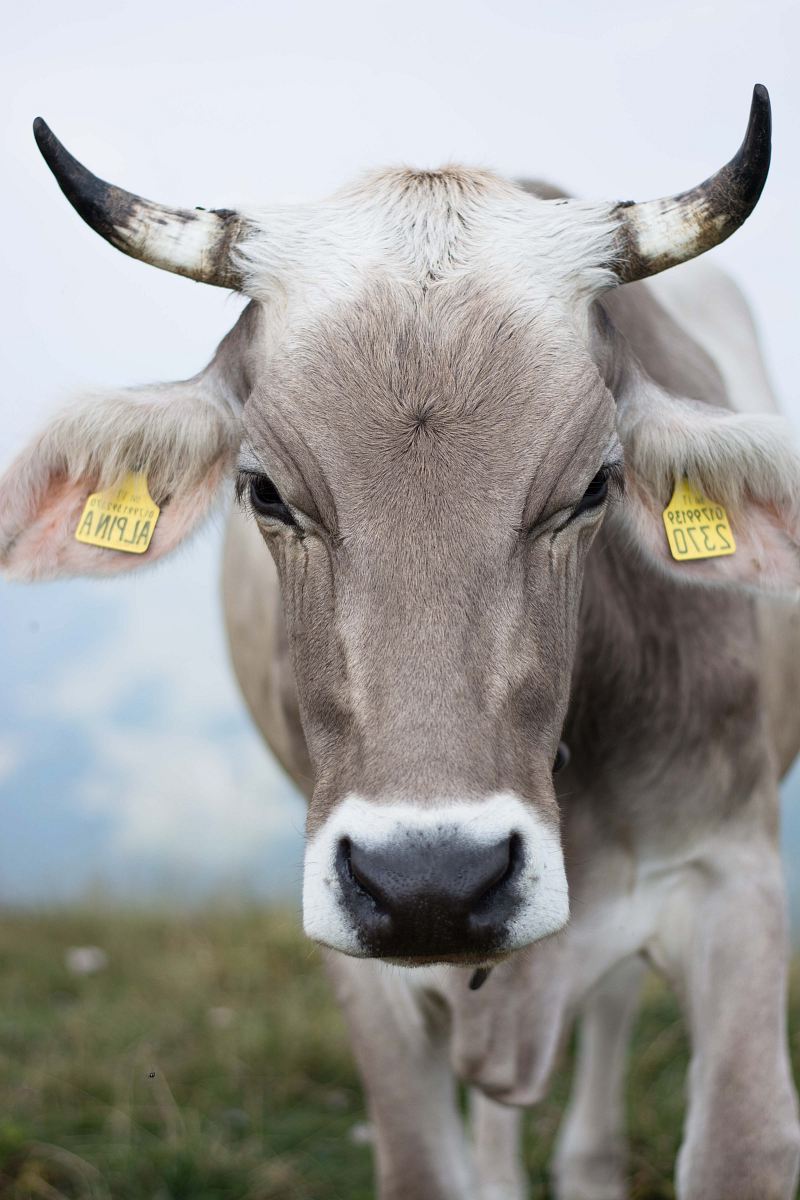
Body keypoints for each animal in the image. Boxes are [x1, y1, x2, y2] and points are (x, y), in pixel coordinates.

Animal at [1, 84, 798, 1199]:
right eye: (264, 491)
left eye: (594, 485)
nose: (433, 883)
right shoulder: (362, 969)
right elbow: (425, 1163)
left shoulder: (733, 878)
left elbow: (740, 1146)